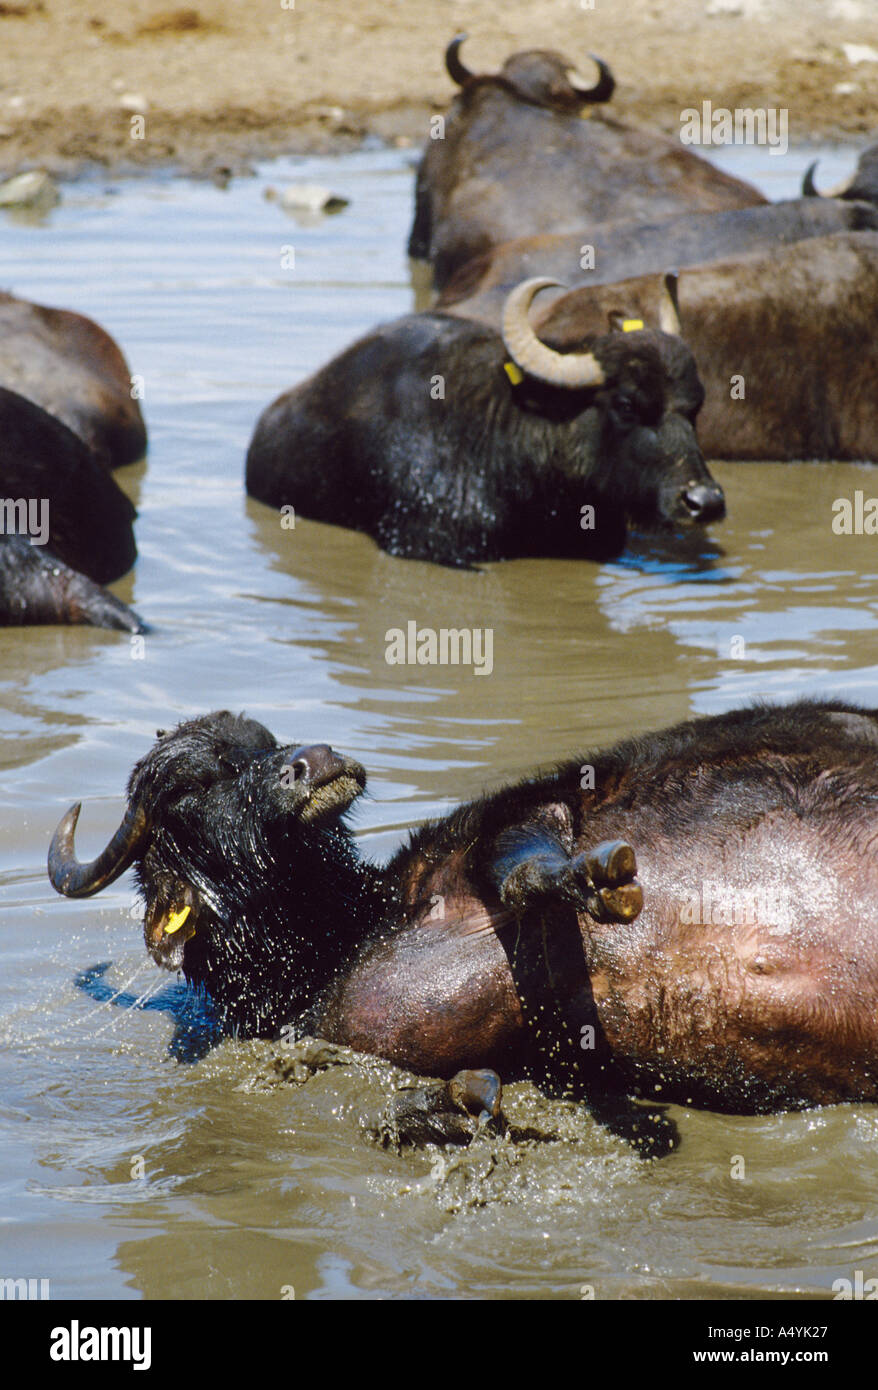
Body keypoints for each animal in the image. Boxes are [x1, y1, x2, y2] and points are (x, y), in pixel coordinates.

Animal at [48, 698, 878, 1144]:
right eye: (190, 788)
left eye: (262, 744)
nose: (315, 759)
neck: (348, 932)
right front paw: (466, 1106)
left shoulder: (521, 814)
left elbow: (520, 865)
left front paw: (593, 878)